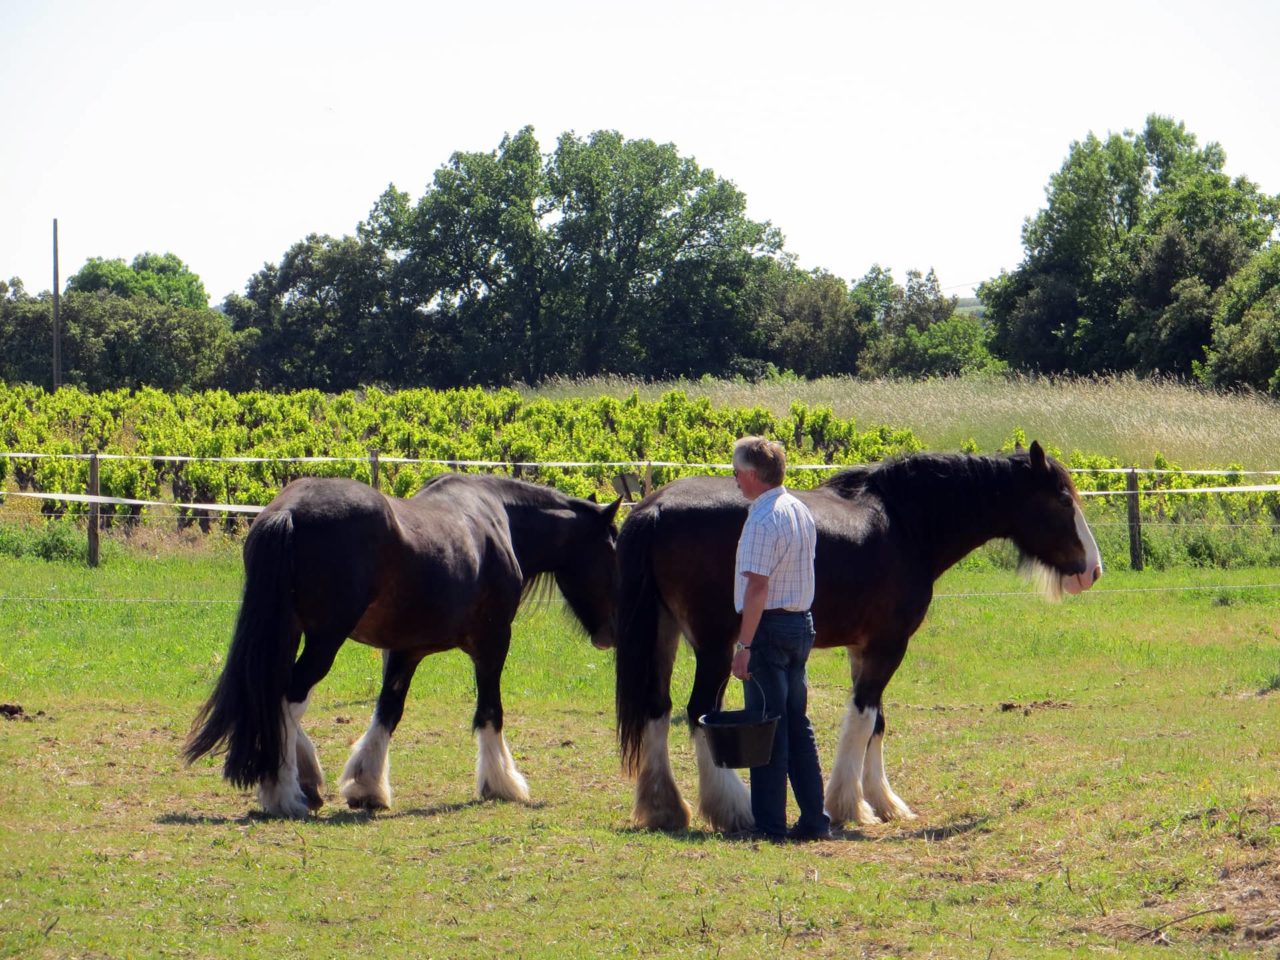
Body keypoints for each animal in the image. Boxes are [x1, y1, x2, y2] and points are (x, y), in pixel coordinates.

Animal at [185, 473, 620, 818]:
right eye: (614, 550)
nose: (612, 634)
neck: (499, 521)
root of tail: (287, 512)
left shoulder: (405, 650)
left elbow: (388, 710)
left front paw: (367, 786)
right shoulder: (493, 642)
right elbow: (490, 710)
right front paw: (503, 783)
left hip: (289, 632)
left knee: (271, 696)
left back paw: (304, 778)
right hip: (325, 639)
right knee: (288, 698)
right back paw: (286, 792)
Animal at [613, 441, 1102, 833]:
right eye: (1062, 500)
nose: (1092, 571)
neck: (905, 524)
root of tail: (654, 507)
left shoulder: (863, 648)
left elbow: (877, 723)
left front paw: (885, 802)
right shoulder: (888, 646)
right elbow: (863, 717)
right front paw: (851, 805)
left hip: (663, 636)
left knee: (657, 711)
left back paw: (664, 809)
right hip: (715, 647)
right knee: (699, 712)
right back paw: (734, 809)